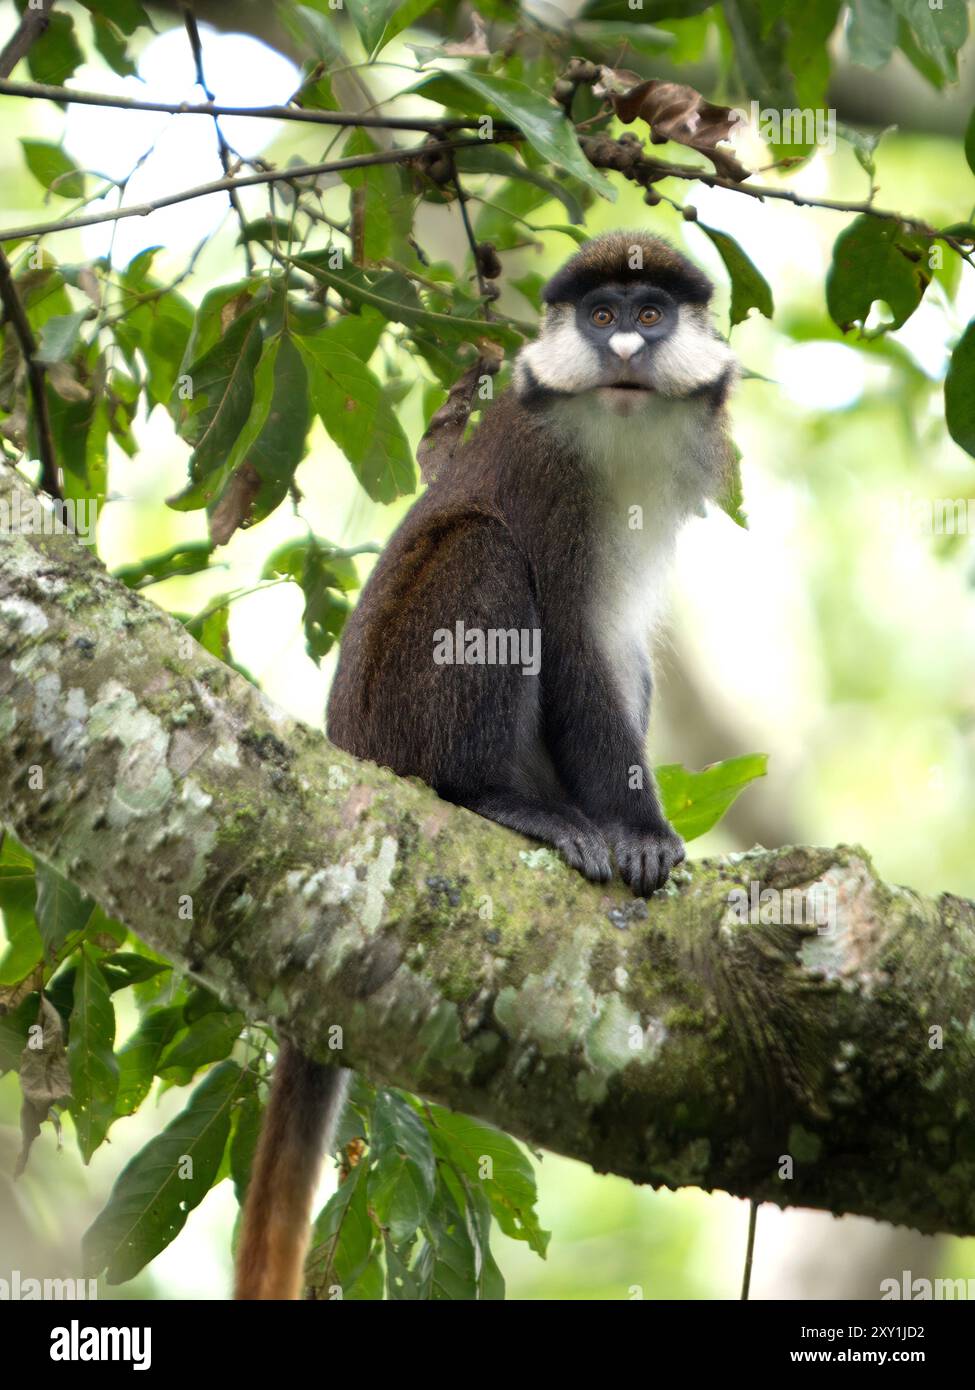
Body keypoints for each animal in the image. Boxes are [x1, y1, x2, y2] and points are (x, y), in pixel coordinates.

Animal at [234, 231, 738, 1299]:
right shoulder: (550, 488)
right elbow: (578, 652)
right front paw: (641, 835)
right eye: (599, 315)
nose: (622, 348)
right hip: (409, 707)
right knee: (485, 552)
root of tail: (350, 748)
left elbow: (624, 660)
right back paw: (500, 803)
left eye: (649, 314)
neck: (616, 440)